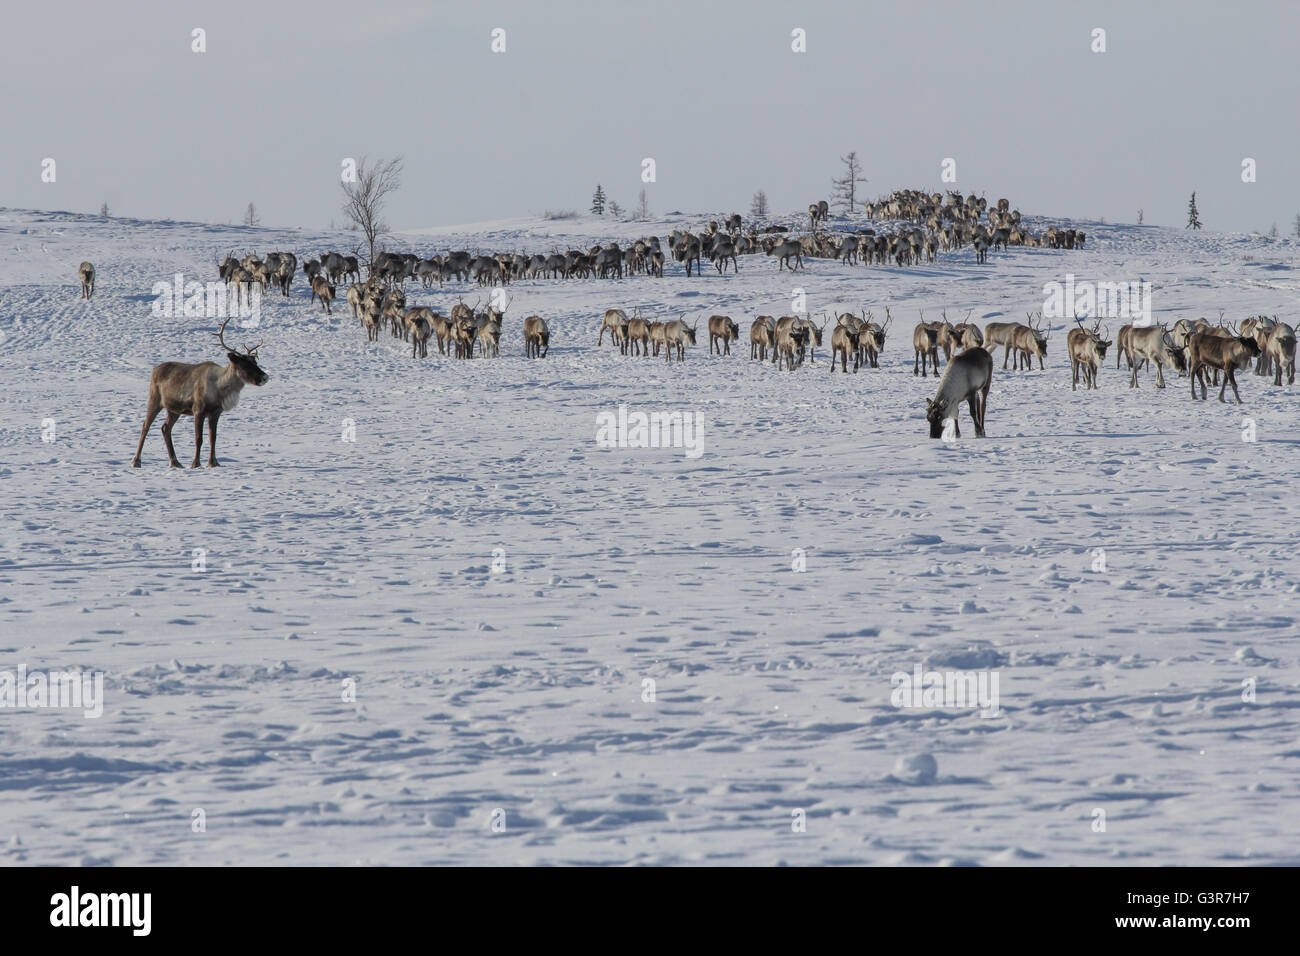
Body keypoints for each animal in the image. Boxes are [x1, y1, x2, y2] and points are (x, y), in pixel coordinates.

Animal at [130, 317, 269, 469]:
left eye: (255, 362)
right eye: (244, 365)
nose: (265, 377)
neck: (219, 389)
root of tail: (154, 369)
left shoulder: (215, 413)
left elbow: (213, 438)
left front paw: (213, 463)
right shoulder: (198, 410)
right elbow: (199, 438)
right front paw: (195, 464)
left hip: (173, 409)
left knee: (165, 428)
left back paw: (175, 462)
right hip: (154, 399)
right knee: (145, 426)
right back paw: (136, 461)